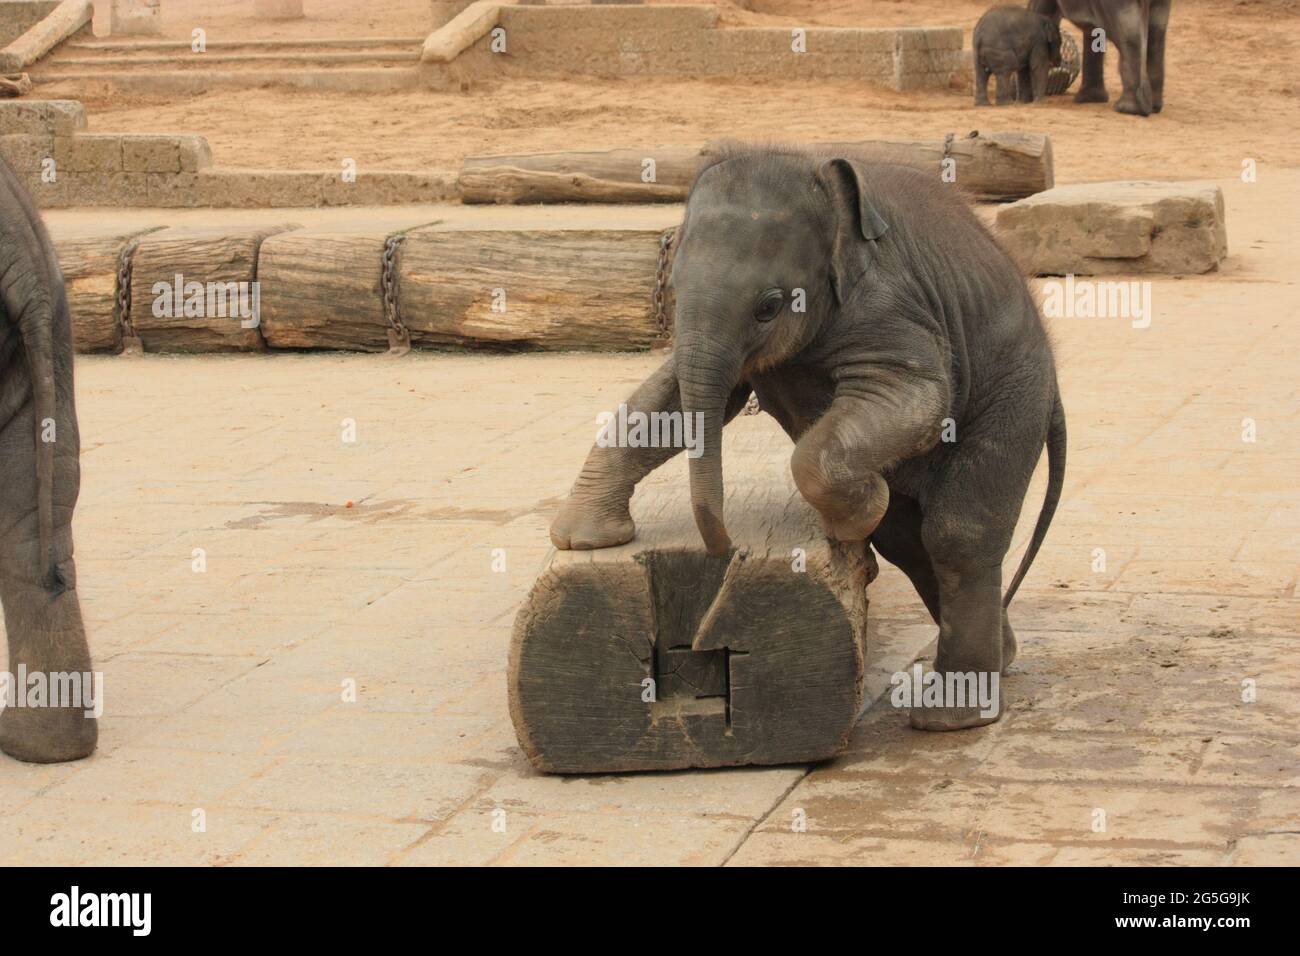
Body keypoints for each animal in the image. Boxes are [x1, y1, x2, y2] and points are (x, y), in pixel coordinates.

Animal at [549, 145, 1067, 731]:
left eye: (769, 305)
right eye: (672, 293)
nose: (723, 549)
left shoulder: (890, 305)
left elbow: (918, 392)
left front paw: (855, 514)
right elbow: (669, 401)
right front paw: (582, 541)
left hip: (1015, 398)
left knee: (958, 535)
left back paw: (950, 717)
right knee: (907, 540)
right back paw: (998, 658)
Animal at [1029, 0, 1172, 115]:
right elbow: (1094, 31)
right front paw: (1090, 100)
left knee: (1130, 36)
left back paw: (1128, 110)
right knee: (1156, 34)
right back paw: (1153, 107)